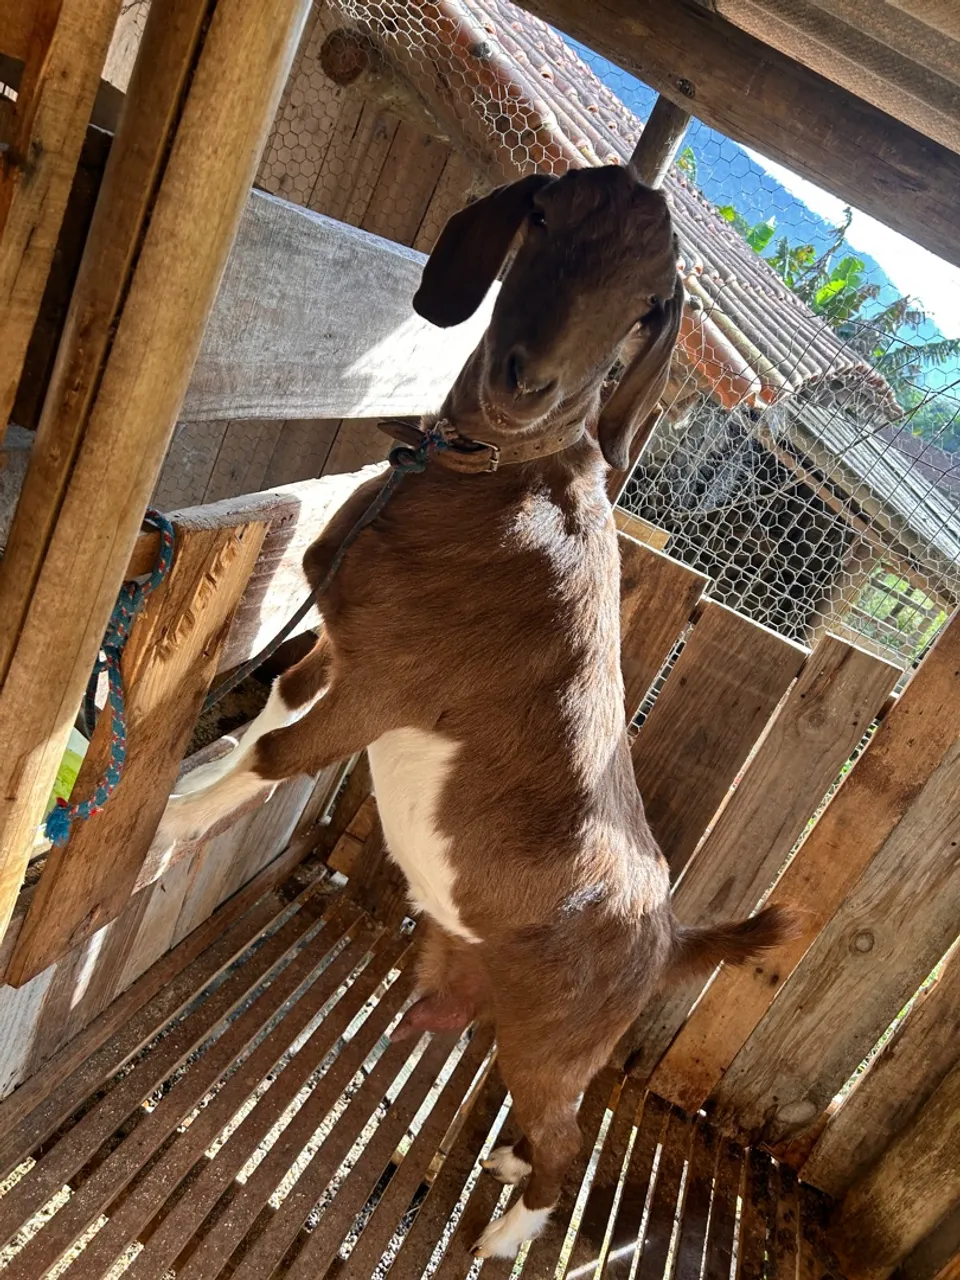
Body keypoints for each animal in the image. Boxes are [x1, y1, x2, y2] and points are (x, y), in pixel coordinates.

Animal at [151, 165, 796, 1259]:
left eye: (650, 302)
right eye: (541, 216)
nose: (526, 378)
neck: (493, 474)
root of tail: (670, 937)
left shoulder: (388, 684)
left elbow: (283, 753)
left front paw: (167, 821)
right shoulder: (336, 642)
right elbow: (270, 714)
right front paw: (197, 777)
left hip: (556, 1045)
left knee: (567, 1142)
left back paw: (502, 1232)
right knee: (532, 1124)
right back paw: (500, 1167)